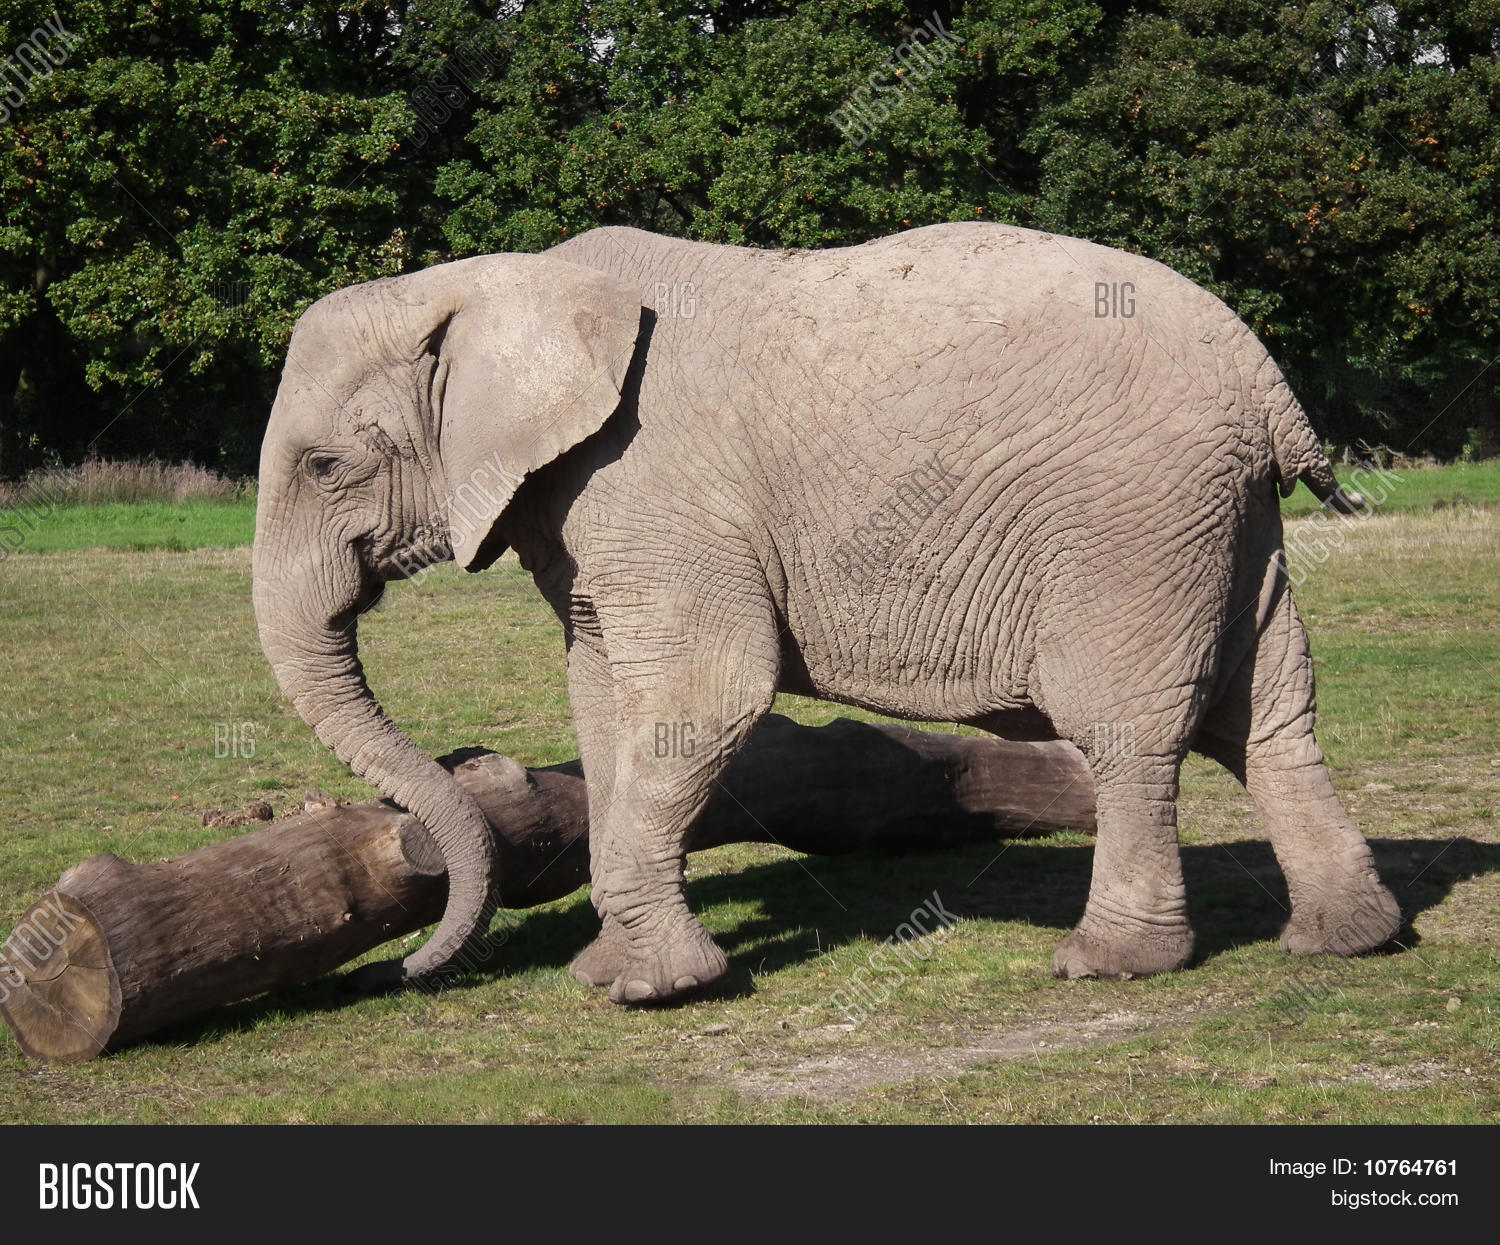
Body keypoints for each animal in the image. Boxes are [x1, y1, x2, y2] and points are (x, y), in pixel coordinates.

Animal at [251, 220, 1401, 1004]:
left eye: (326, 465)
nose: (400, 971)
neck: (500, 281)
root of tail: (1264, 378)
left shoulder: (658, 485)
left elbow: (708, 693)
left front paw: (649, 991)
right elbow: (600, 699)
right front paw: (603, 971)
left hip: (1133, 520)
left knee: (1129, 728)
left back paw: (1108, 964)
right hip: (1225, 520)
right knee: (1269, 714)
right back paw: (1344, 939)